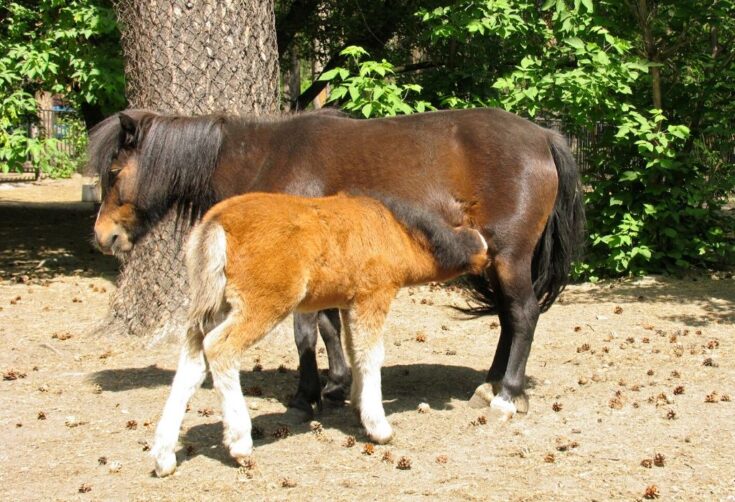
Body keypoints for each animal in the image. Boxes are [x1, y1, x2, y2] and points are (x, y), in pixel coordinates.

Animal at [89, 107, 585, 421]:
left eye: (113, 172)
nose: (103, 236)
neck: (268, 158)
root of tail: (543, 137)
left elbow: (304, 334)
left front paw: (305, 396)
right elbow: (329, 327)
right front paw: (337, 385)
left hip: (510, 258)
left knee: (523, 315)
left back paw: (508, 395)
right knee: (507, 318)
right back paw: (488, 385)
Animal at [151, 191, 490, 476]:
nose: (487, 256)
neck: (397, 231)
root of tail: (216, 222)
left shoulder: (350, 303)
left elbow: (355, 351)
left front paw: (358, 408)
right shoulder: (374, 296)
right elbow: (372, 356)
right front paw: (378, 427)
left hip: (213, 306)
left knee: (193, 361)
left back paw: (164, 456)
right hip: (263, 305)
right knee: (220, 348)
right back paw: (240, 443)